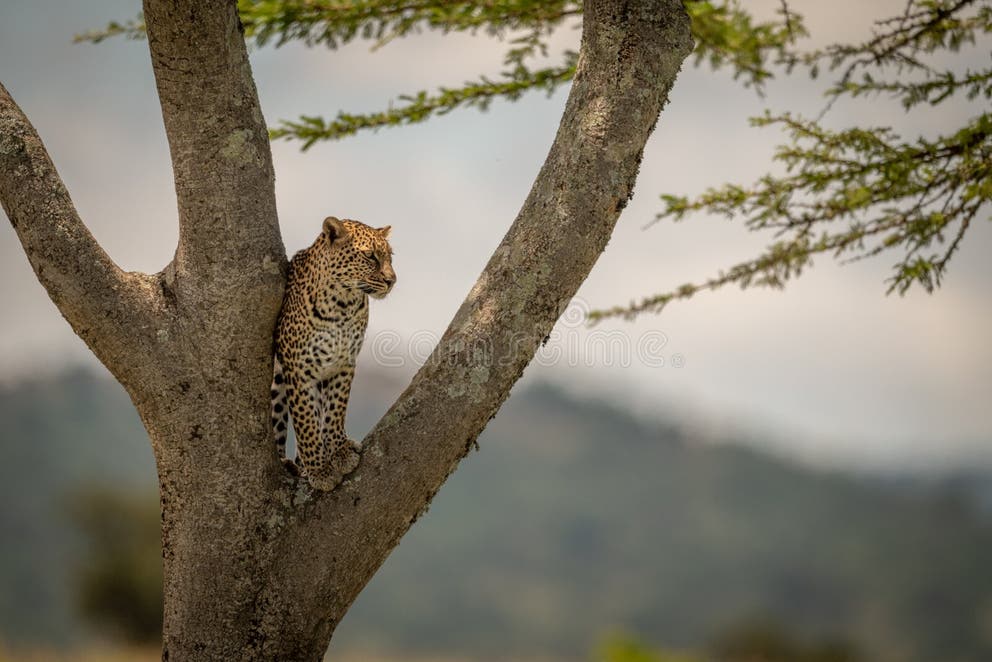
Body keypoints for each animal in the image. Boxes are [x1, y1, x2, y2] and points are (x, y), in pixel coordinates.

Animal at [271, 216, 395, 491]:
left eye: (390, 256)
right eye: (370, 256)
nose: (392, 280)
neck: (342, 305)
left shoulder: (344, 362)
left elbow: (335, 409)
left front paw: (339, 451)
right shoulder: (298, 368)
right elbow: (306, 422)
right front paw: (319, 470)